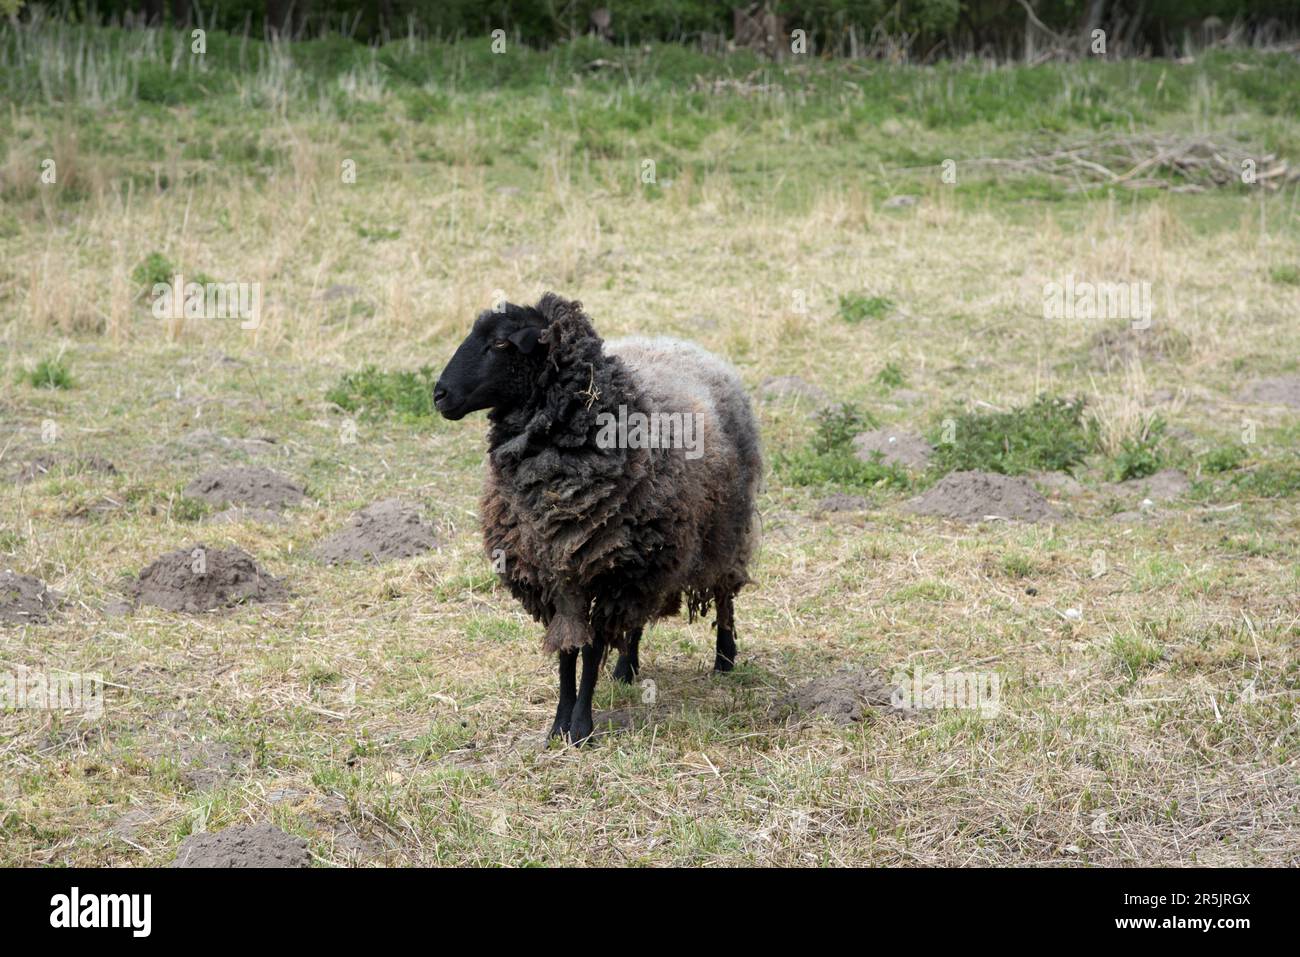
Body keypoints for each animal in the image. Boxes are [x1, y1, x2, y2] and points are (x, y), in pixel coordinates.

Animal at [434, 293, 763, 743]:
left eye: (500, 343)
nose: (439, 394)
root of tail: (680, 343)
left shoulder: (604, 572)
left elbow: (589, 651)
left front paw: (581, 727)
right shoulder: (559, 572)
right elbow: (567, 649)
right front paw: (558, 724)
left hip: (721, 525)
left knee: (724, 590)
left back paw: (725, 659)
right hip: (642, 560)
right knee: (634, 619)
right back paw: (626, 668)